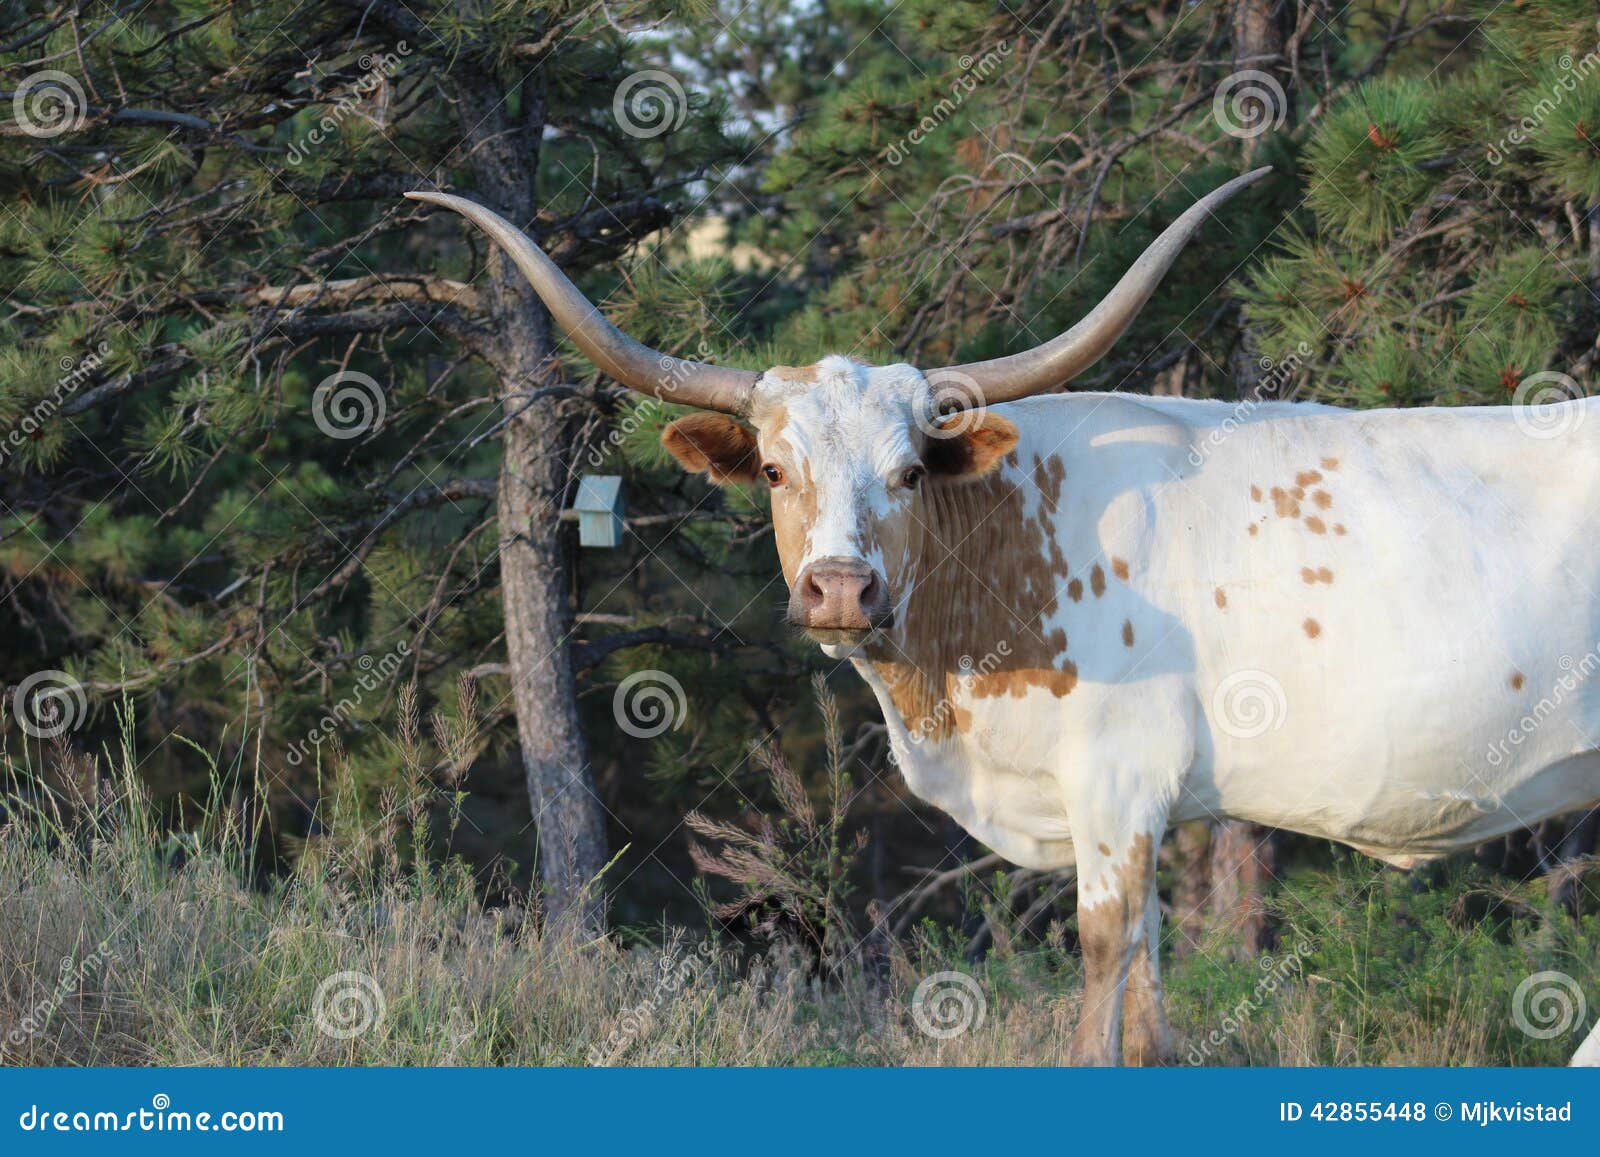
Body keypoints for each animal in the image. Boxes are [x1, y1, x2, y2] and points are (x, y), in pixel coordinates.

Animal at [406, 169, 1600, 1066]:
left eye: (906, 470)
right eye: (778, 469)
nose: (840, 587)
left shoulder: (1118, 779)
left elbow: (1103, 957)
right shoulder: (1139, 808)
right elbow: (1152, 991)